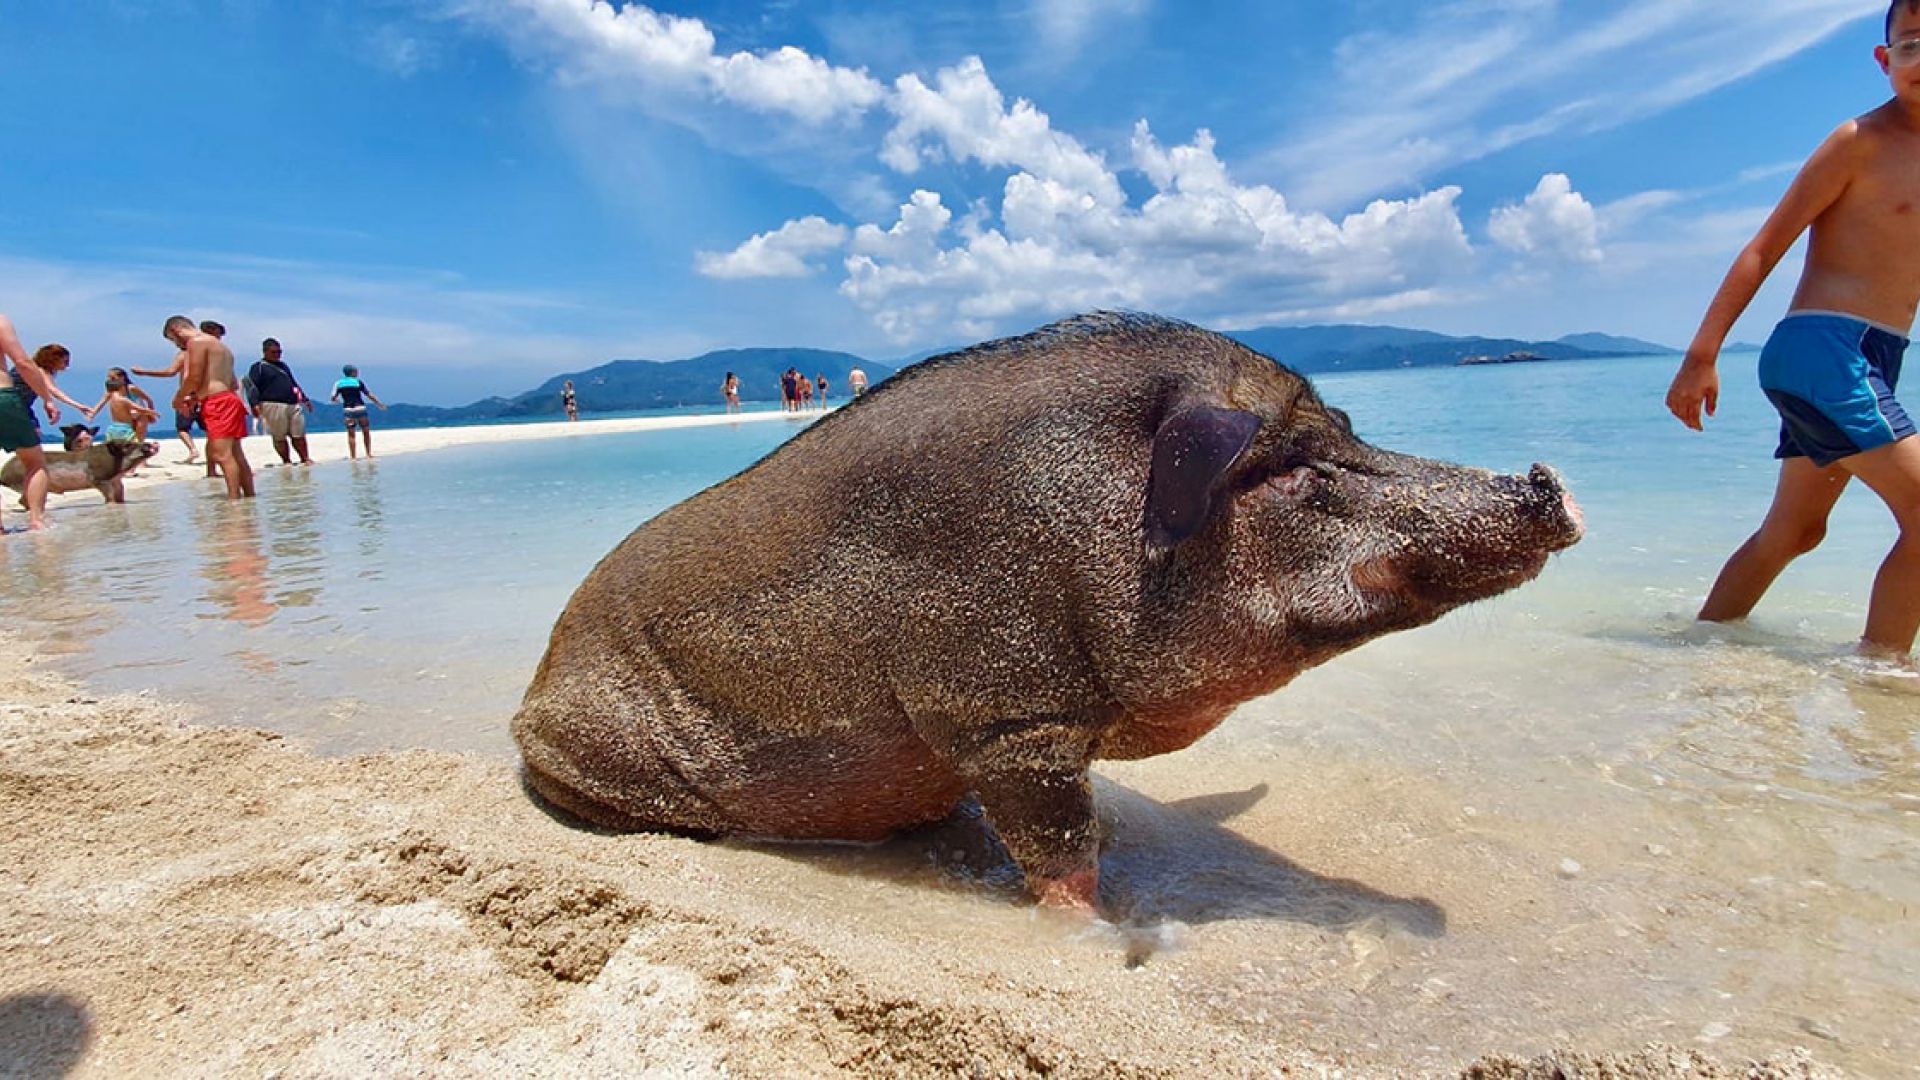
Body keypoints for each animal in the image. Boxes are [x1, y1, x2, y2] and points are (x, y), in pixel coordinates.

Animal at [1, 440, 161, 509]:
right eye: (128, 445)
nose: (151, 443)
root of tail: (3, 473)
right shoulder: (98, 479)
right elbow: (109, 496)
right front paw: (110, 504)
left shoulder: (116, 481)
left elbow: (120, 493)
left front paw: (122, 503)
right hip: (22, 483)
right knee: (21, 500)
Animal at [513, 313, 1583, 911]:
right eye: (1293, 468)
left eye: (1349, 432)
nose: (1550, 483)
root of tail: (529, 696)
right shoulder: (1000, 717)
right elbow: (1065, 858)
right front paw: (1099, 933)